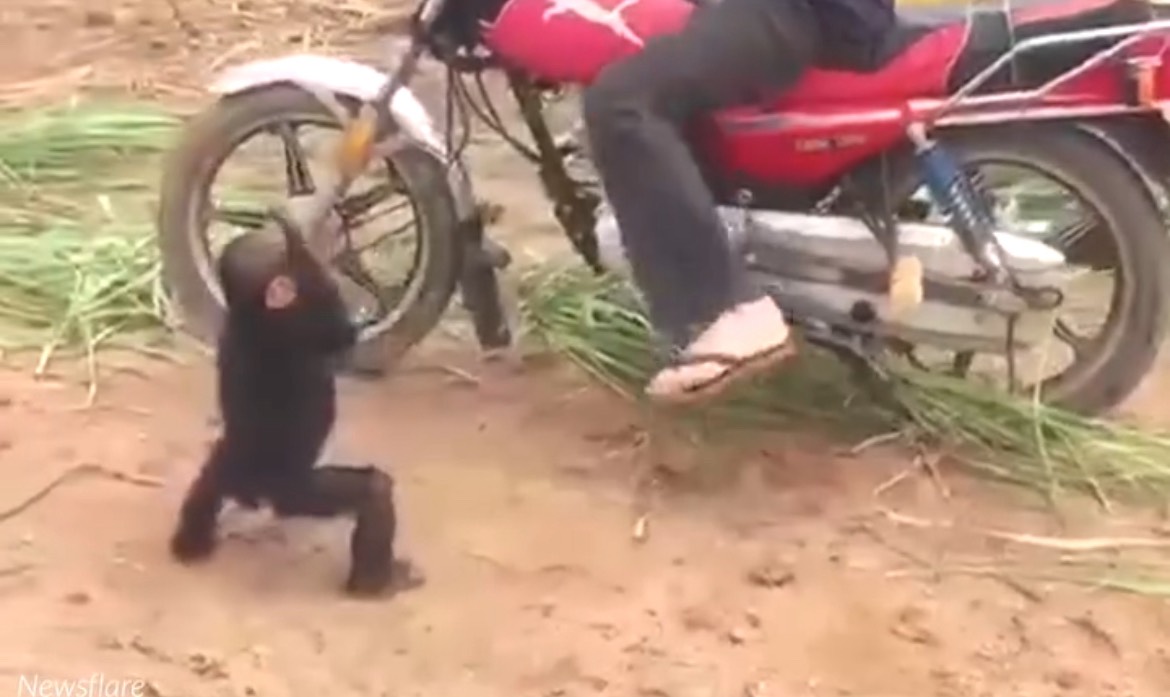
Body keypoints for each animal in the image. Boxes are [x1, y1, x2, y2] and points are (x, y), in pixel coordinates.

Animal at [168, 208, 418, 598]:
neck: (255, 316)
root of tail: (254, 489)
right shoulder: (303, 326)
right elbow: (339, 333)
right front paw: (298, 240)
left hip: (231, 460)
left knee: (206, 482)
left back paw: (190, 543)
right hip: (296, 492)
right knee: (374, 491)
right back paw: (373, 583)